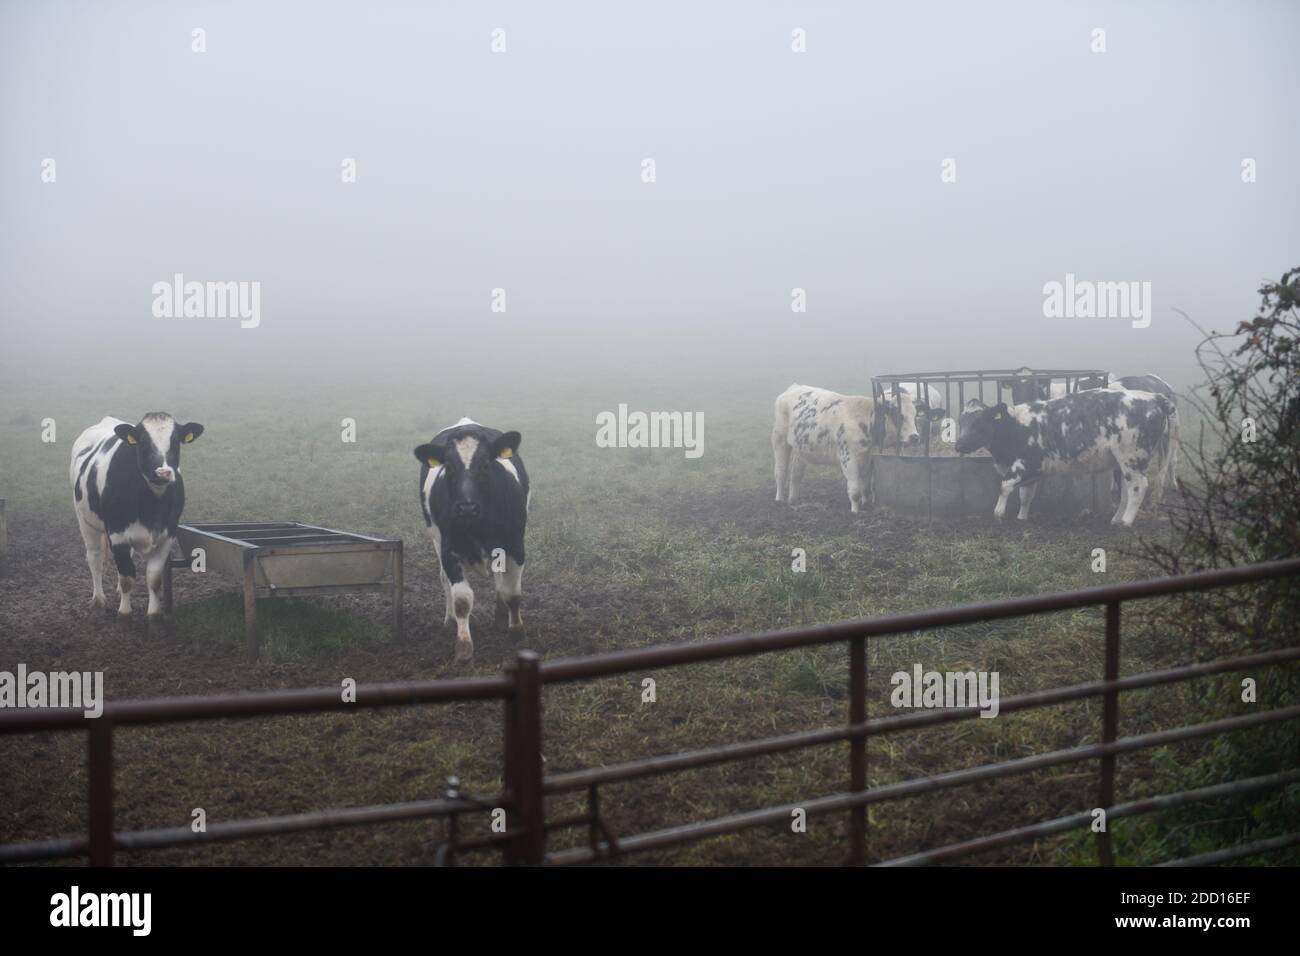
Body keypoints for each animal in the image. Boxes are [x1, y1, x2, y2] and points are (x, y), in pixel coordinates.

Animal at [70, 414, 204, 619]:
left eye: (175, 443)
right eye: (143, 443)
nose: (163, 472)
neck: (152, 504)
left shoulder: (167, 535)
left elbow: (153, 577)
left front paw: (154, 613)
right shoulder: (117, 535)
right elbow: (127, 577)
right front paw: (125, 612)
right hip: (85, 520)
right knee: (94, 558)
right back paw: (98, 598)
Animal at [414, 417, 529, 662]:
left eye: (485, 464)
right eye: (449, 466)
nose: (467, 507)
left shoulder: (515, 547)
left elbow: (512, 593)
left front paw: (516, 630)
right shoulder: (449, 551)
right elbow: (462, 600)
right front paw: (464, 645)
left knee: (500, 580)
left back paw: (500, 614)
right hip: (436, 539)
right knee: (444, 579)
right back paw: (450, 620)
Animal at [772, 384, 941, 512]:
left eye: (915, 414)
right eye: (897, 414)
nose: (914, 437)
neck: (864, 420)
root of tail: (793, 388)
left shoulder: (869, 459)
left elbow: (866, 486)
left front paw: (866, 505)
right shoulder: (849, 459)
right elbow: (855, 490)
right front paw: (855, 511)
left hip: (800, 448)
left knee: (796, 474)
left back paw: (793, 500)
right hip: (780, 441)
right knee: (781, 472)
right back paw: (779, 499)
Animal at [954, 389, 1178, 526]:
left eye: (979, 423)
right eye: (962, 422)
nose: (959, 445)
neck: (1016, 426)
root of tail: (1155, 397)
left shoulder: (1025, 463)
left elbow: (1005, 486)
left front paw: (999, 515)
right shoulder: (1033, 472)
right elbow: (1026, 496)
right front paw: (1022, 517)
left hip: (1132, 456)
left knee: (1139, 486)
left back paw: (1127, 521)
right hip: (1123, 462)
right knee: (1126, 490)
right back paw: (1116, 519)